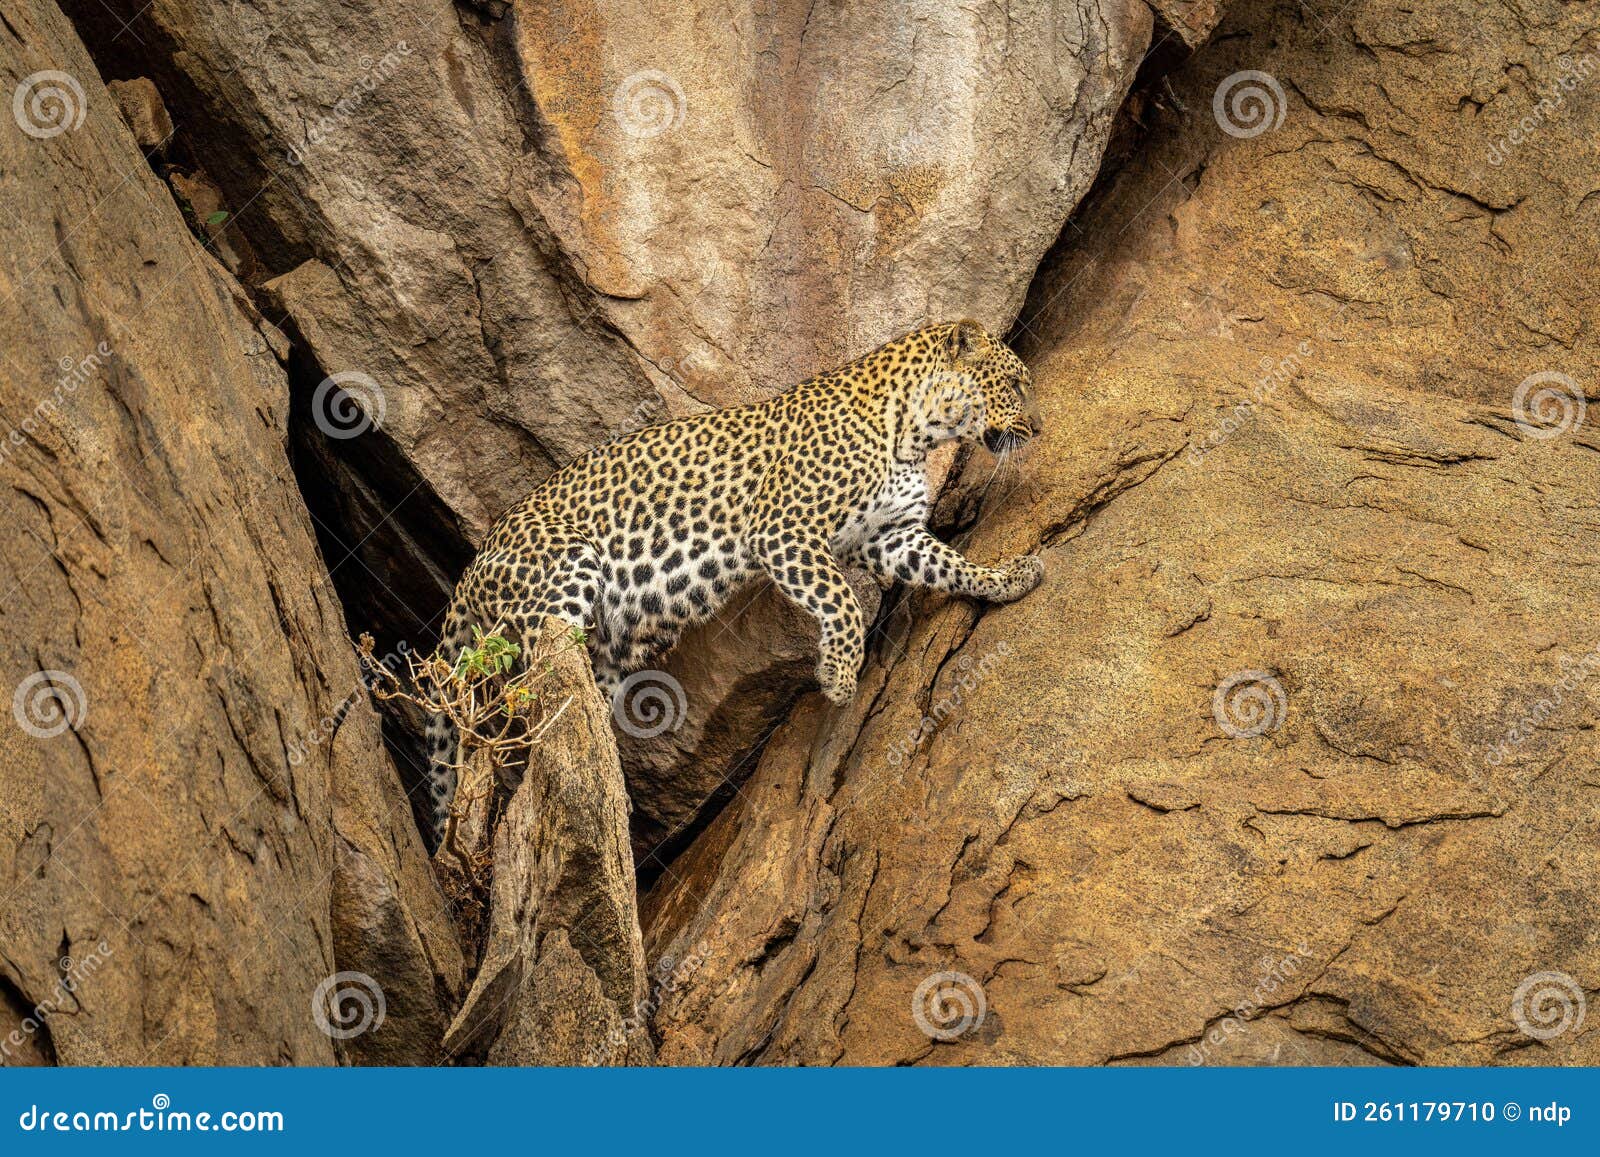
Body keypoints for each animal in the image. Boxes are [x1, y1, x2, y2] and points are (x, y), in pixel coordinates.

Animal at [423, 318, 1045, 838]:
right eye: (1016, 383)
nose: (1038, 428)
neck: (916, 431)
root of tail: (473, 564)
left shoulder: (891, 536)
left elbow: (950, 564)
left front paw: (1009, 577)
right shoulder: (783, 528)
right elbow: (841, 598)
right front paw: (839, 675)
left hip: (618, 641)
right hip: (565, 569)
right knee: (532, 694)